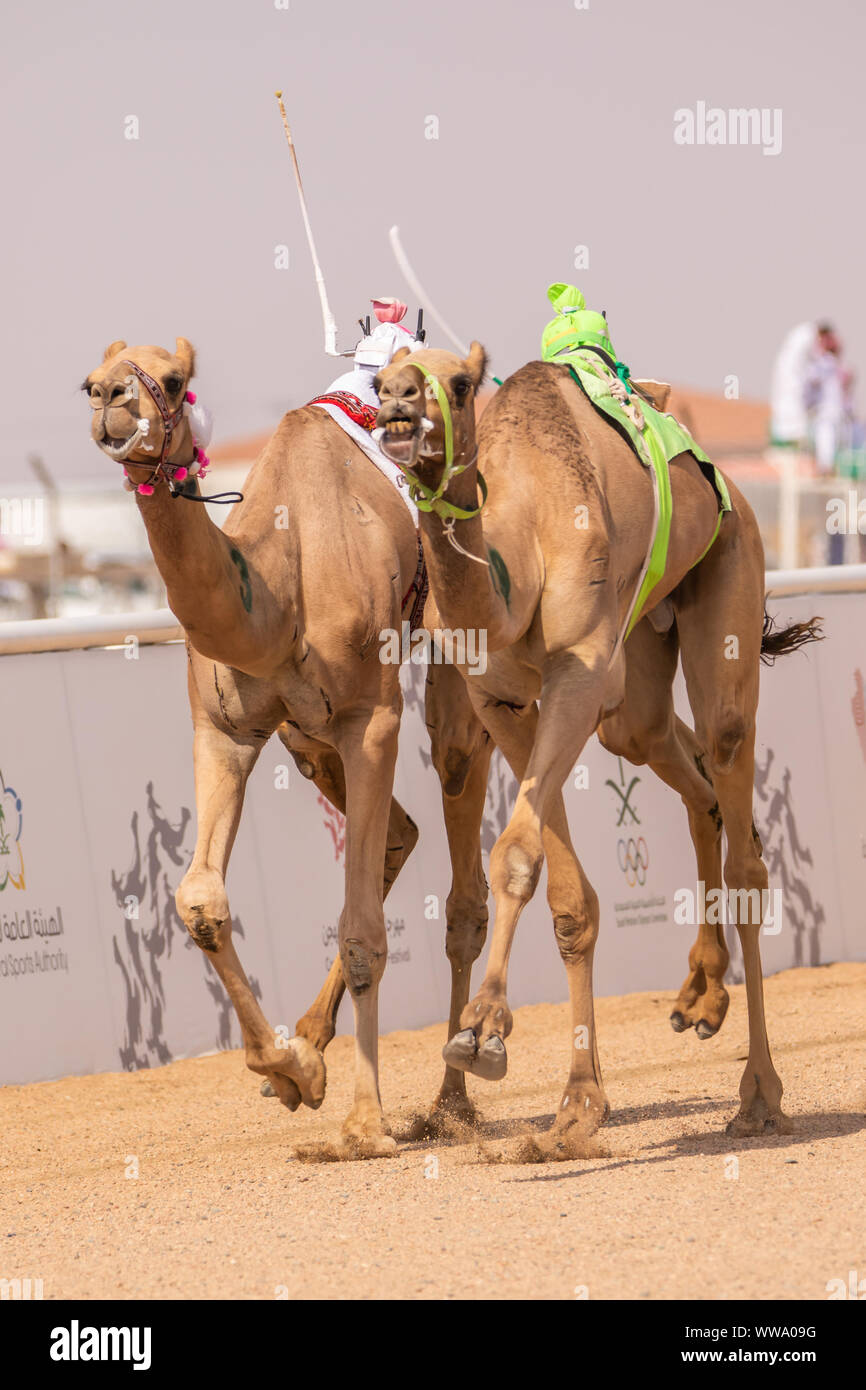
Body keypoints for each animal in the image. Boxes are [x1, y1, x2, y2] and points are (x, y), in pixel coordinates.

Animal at [81, 336, 486, 1154]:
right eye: (89, 381)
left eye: (173, 378)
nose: (110, 398)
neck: (281, 579)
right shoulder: (227, 728)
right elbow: (199, 900)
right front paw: (289, 1068)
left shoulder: (372, 720)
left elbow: (363, 932)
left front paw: (364, 1125)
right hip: (307, 740)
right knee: (399, 833)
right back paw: (312, 1040)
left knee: (461, 847)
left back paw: (452, 1098)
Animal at [375, 341, 819, 1156]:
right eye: (381, 380)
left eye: (460, 383)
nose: (398, 406)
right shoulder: (502, 700)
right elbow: (564, 892)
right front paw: (574, 1102)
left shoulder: (580, 675)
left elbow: (516, 853)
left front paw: (483, 1029)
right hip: (641, 657)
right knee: (679, 766)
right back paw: (701, 996)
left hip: (728, 571)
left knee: (732, 781)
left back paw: (758, 1096)